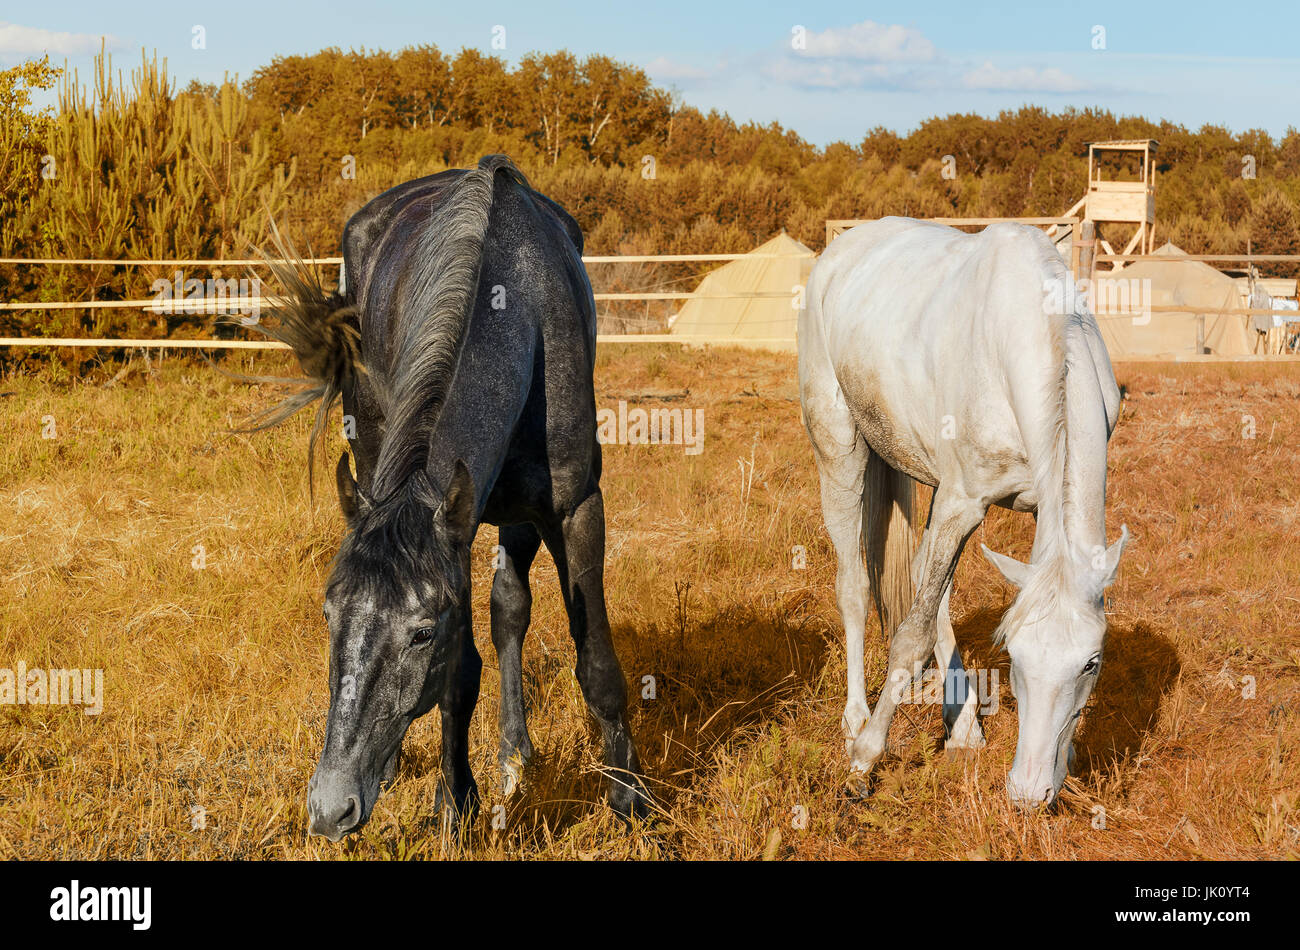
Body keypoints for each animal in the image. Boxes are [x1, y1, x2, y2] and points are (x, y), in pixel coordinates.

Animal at [248, 155, 649, 841]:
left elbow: (593, 656)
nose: (330, 807)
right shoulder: (453, 529)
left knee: (510, 608)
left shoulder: (574, 509)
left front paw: (628, 798)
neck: (518, 300)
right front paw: (454, 802)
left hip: (516, 515)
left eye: (421, 633)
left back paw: (516, 755)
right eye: (328, 615)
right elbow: (461, 678)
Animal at [798, 217, 1129, 807]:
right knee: (854, 586)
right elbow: (910, 638)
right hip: (840, 450)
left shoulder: (1000, 508)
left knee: (925, 581)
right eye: (1012, 655)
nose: (1028, 793)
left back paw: (964, 724)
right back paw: (855, 719)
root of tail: (838, 254)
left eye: (1091, 662)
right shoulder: (962, 503)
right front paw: (865, 759)